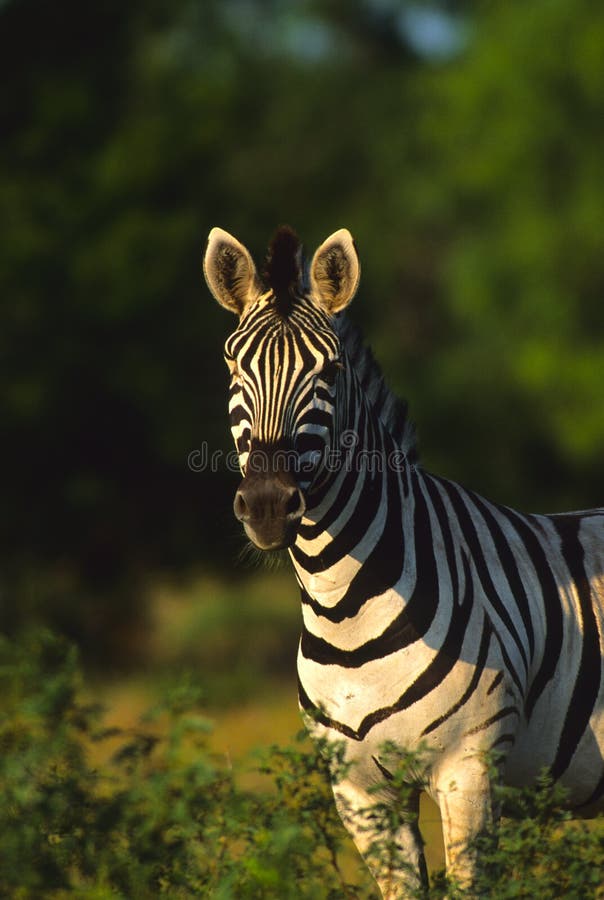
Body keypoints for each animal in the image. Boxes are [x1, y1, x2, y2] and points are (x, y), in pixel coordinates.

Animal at [203, 225, 604, 897]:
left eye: (331, 370)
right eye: (234, 363)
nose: (266, 505)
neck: (345, 610)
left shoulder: (471, 772)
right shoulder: (361, 795)